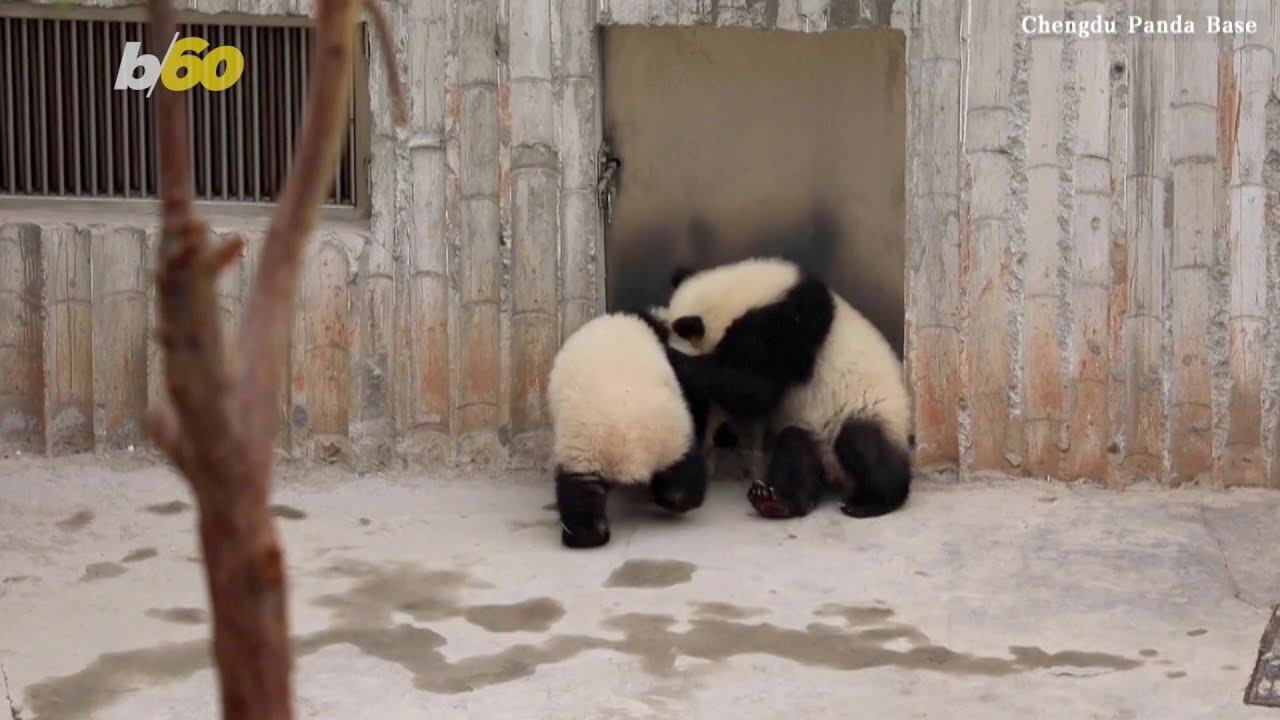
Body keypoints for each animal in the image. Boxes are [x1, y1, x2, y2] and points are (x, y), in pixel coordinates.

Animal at [661, 256, 914, 520]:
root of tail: (834, 471)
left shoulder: (781, 330)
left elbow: (756, 388)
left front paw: (675, 358)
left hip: (870, 408)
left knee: (862, 443)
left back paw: (872, 502)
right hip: (809, 430)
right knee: (795, 450)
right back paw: (778, 501)